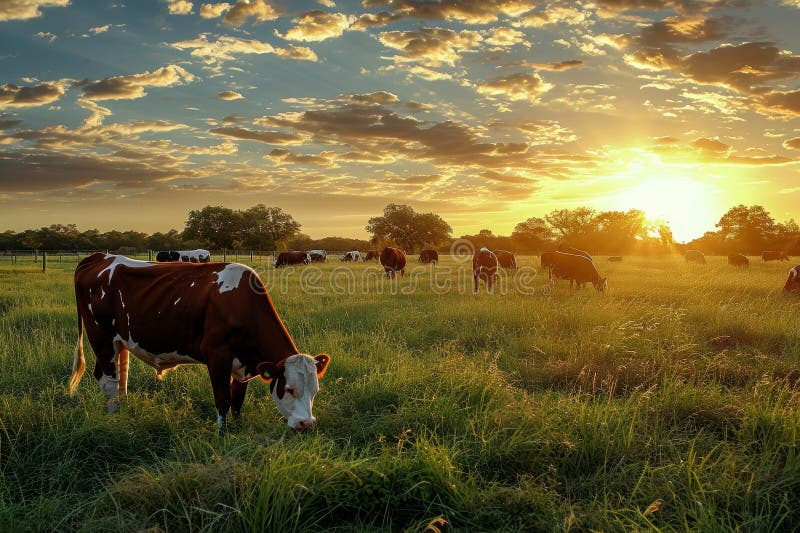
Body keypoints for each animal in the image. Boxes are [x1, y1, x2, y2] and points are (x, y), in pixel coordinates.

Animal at [69, 253, 331, 431]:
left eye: (315, 390)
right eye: (289, 388)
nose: (307, 423)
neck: (240, 303)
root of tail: (100, 256)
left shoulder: (242, 364)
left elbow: (238, 400)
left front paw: (238, 429)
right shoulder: (217, 356)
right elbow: (223, 400)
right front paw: (222, 434)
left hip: (120, 341)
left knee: (121, 376)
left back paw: (124, 413)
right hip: (101, 339)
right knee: (108, 380)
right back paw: (114, 418)